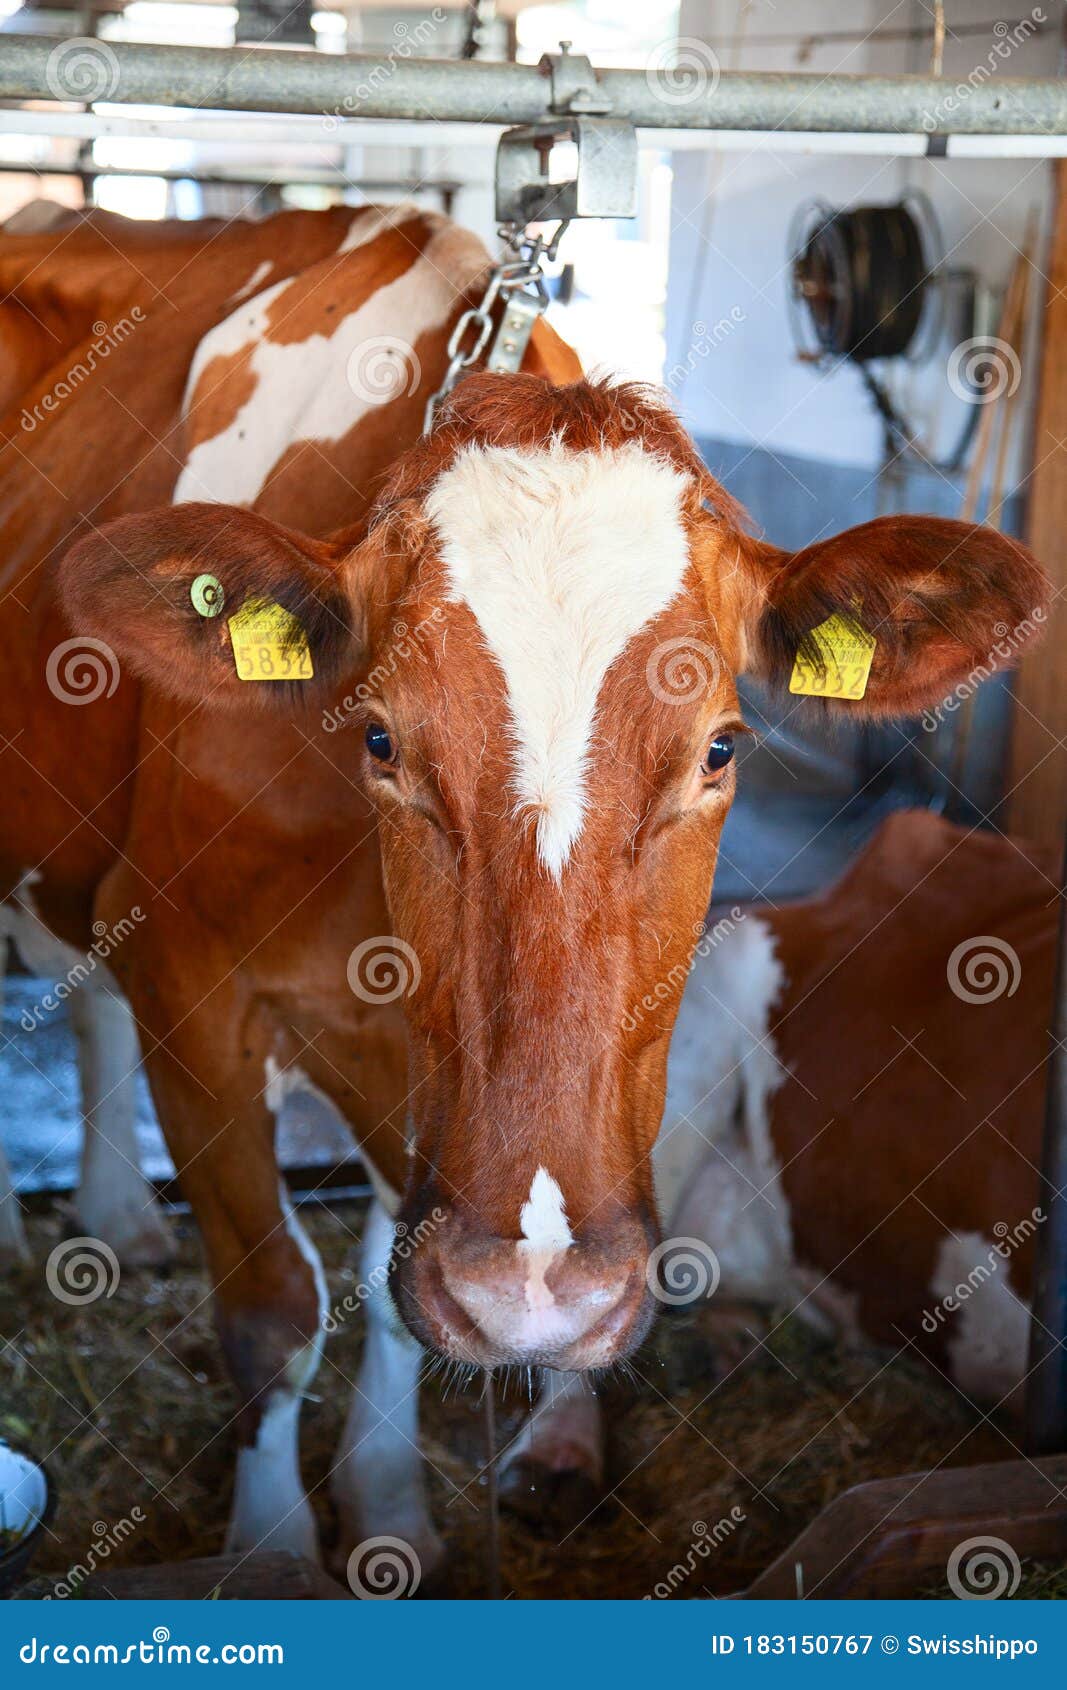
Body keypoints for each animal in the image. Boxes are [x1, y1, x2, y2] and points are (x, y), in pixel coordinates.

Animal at [1, 198, 1050, 1579]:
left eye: (720, 748)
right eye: (380, 737)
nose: (539, 1292)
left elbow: (390, 1292)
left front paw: (389, 1505)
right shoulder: (191, 987)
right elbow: (275, 1307)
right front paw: (273, 1553)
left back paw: (119, 1216)